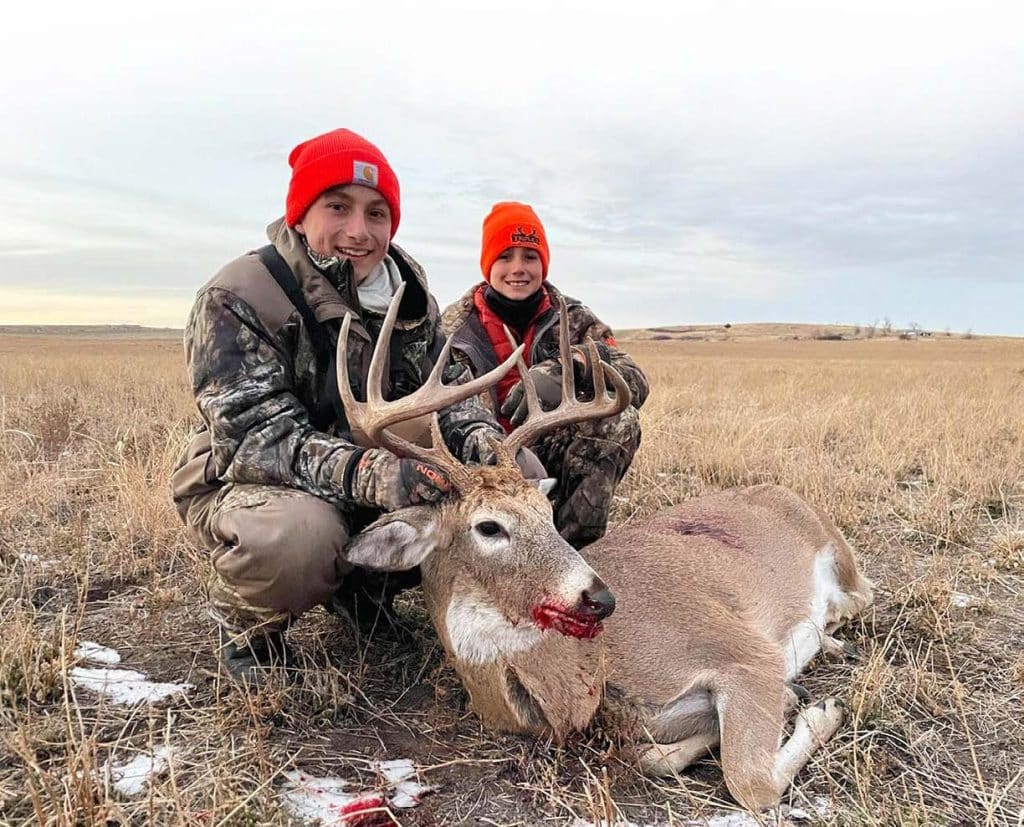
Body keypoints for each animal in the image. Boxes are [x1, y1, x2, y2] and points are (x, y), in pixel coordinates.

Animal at [337, 284, 874, 813]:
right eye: (489, 527)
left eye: (546, 510)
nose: (601, 597)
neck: (583, 674)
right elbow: (652, 758)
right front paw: (792, 698)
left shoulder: (742, 652)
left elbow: (749, 782)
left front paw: (825, 707)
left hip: (836, 553)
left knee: (860, 594)